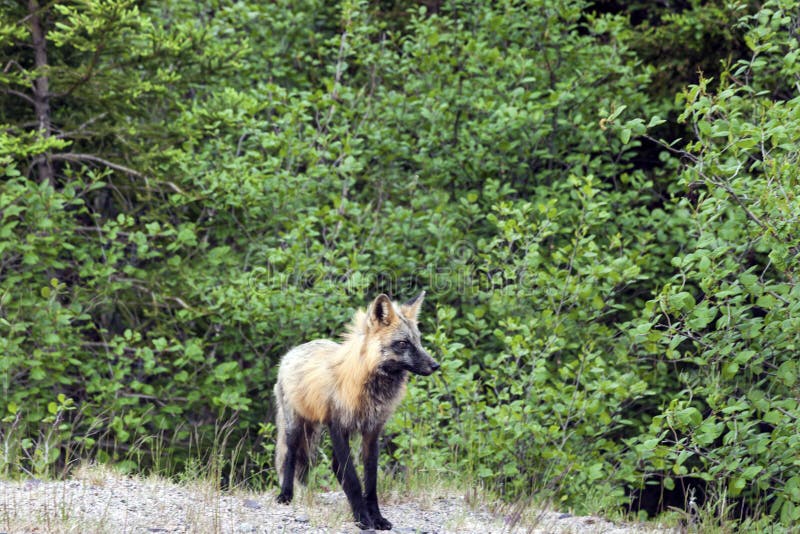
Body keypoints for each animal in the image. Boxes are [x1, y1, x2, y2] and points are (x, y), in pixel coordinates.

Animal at [273, 291, 439, 530]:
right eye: (403, 343)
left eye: (418, 341)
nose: (435, 366)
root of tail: (290, 353)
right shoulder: (337, 427)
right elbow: (352, 479)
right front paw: (361, 517)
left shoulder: (372, 431)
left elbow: (370, 482)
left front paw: (376, 517)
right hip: (295, 426)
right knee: (290, 456)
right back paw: (286, 494)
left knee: (334, 465)